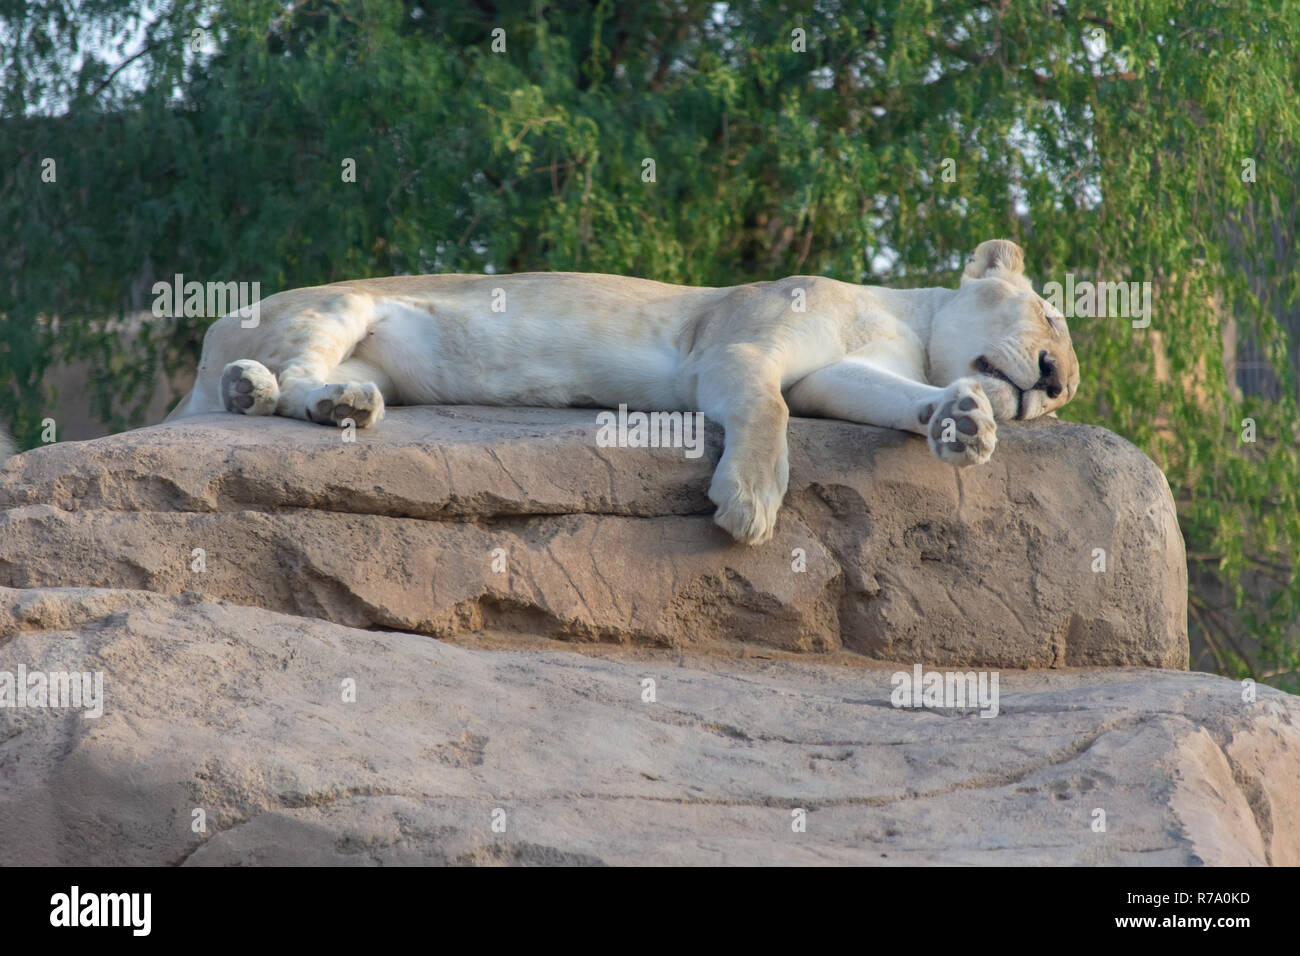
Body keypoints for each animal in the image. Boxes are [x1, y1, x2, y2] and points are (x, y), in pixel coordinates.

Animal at [169, 238, 1079, 545]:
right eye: (1051, 314)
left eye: (1066, 401)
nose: (1055, 383)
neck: (905, 323)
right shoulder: (736, 346)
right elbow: (770, 409)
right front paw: (750, 504)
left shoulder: (834, 374)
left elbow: (887, 399)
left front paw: (962, 422)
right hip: (335, 303)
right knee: (290, 373)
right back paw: (305, 399)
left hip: (375, 359)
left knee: (287, 385)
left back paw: (302, 398)